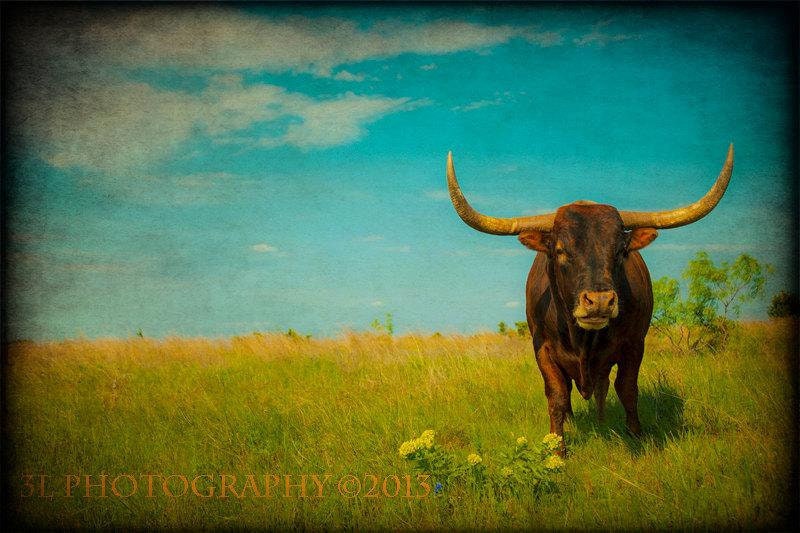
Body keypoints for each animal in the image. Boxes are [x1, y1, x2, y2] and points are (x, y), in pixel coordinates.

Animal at [445, 145, 734, 450]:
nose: (600, 301)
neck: (583, 340)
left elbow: (627, 389)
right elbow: (557, 395)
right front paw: (557, 448)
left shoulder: (635, 345)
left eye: (620, 250)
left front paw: (635, 435)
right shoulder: (542, 349)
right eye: (560, 250)